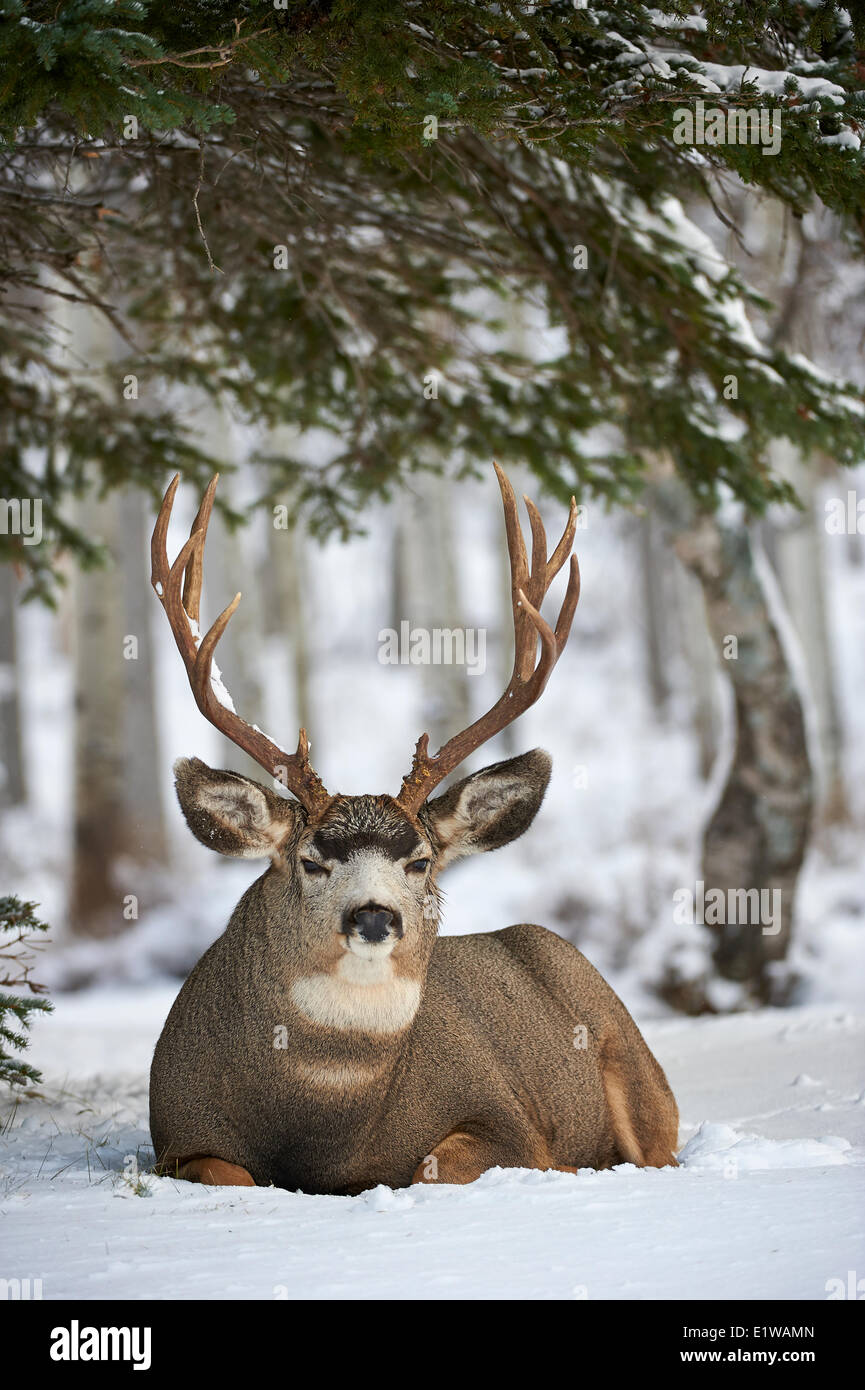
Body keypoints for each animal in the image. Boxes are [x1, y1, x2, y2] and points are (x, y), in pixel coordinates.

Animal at [148, 465, 679, 1192]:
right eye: (311, 858)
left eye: (420, 860)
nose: (374, 916)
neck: (320, 1129)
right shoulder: (174, 1137)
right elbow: (230, 1174)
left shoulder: (508, 1120)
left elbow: (434, 1167)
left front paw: (566, 1169)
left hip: (639, 1071)